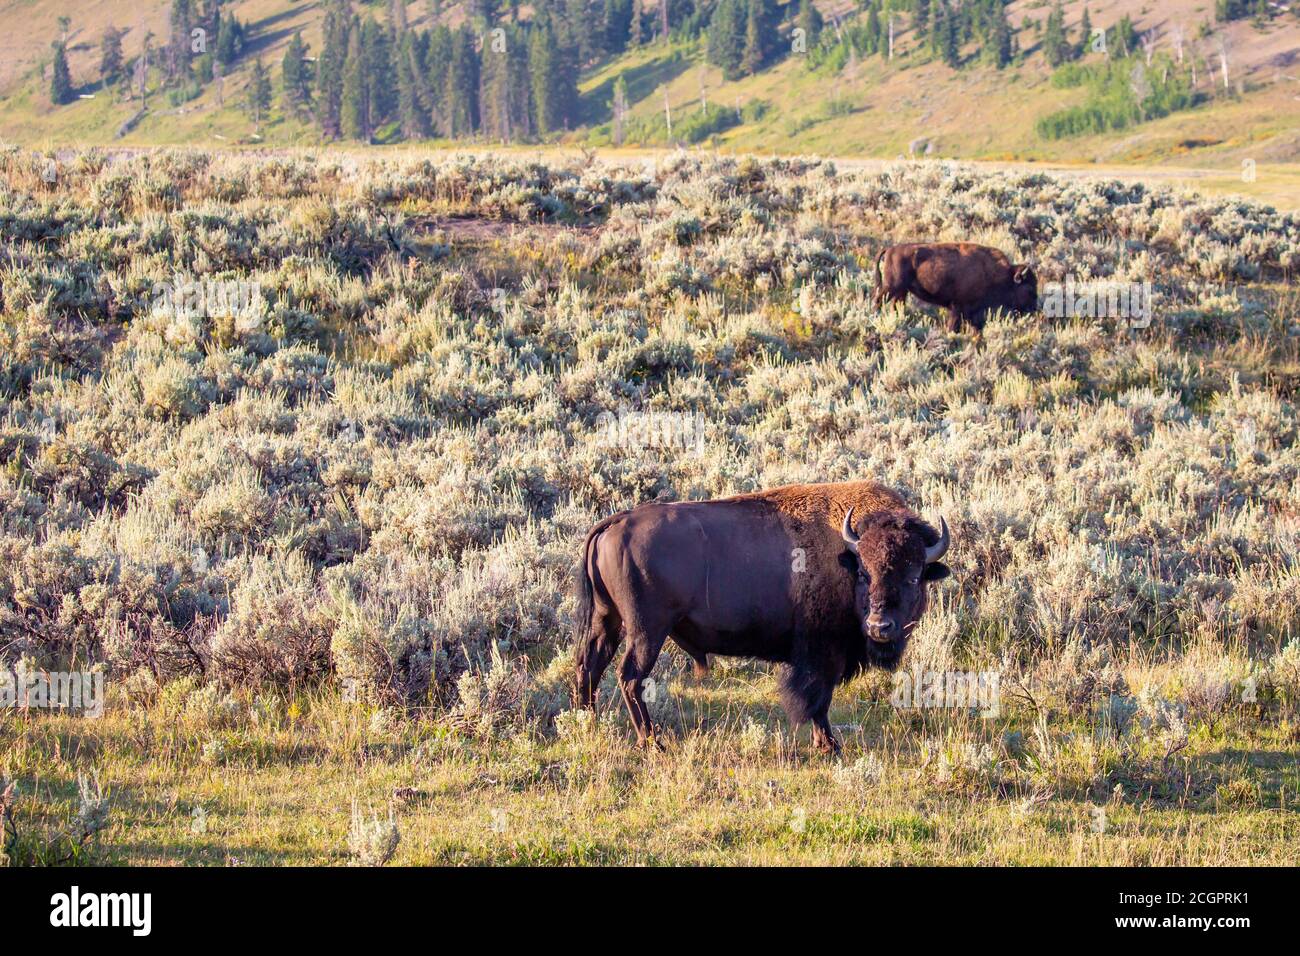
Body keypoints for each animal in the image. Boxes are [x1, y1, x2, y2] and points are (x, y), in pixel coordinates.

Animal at [573, 481, 952, 754]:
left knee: (590, 666)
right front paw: (829, 745)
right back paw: (652, 742)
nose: (879, 627)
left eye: (914, 576)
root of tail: (616, 522)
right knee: (630, 677)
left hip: (608, 621)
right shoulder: (821, 653)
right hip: (647, 631)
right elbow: (818, 699)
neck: (847, 552)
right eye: (863, 573)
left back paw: (587, 722)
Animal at [873, 241, 1037, 334]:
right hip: (890, 287)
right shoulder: (958, 308)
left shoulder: (970, 312)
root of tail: (890, 249)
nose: (1034, 308)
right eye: (1029, 288)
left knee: (896, 306)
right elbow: (953, 326)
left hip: (901, 291)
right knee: (878, 301)